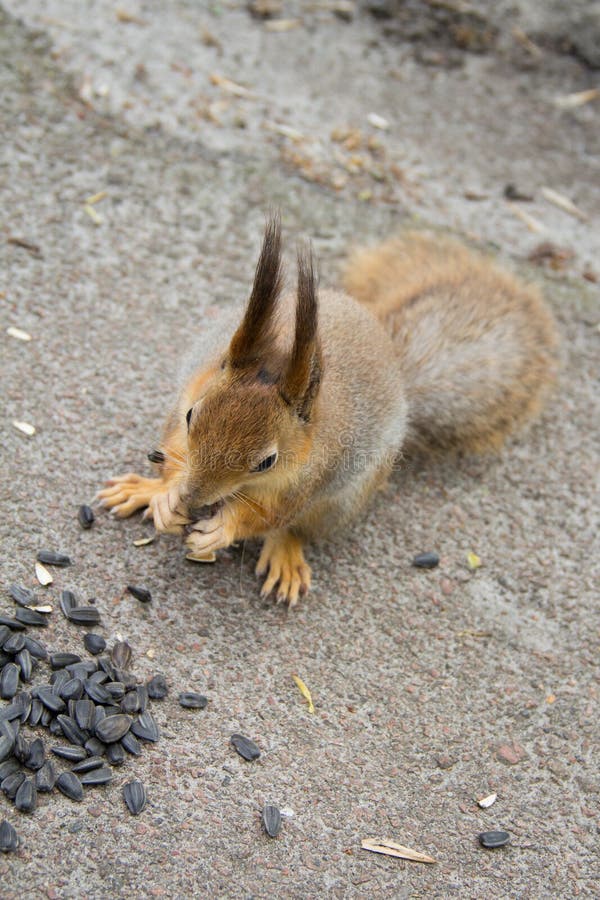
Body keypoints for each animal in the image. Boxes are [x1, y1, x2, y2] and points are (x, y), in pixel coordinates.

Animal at [98, 214, 559, 606]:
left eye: (267, 461)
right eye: (193, 415)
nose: (194, 498)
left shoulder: (309, 477)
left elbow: (267, 515)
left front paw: (220, 530)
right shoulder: (183, 406)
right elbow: (175, 453)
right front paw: (166, 495)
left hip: (342, 500)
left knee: (295, 529)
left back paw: (285, 555)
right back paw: (145, 490)